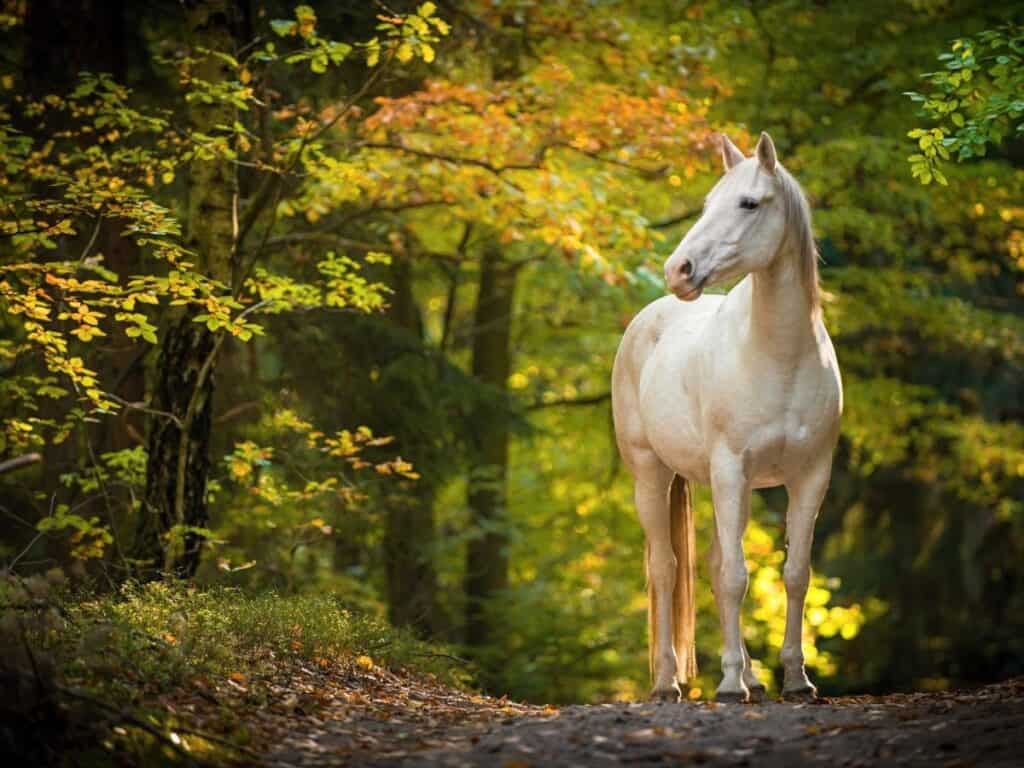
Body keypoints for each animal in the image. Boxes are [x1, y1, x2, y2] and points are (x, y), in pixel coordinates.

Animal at [611, 132, 843, 703]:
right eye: (707, 203)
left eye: (749, 203)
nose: (679, 270)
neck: (780, 357)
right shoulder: (731, 469)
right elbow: (737, 576)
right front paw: (730, 685)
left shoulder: (811, 476)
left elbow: (794, 573)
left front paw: (796, 679)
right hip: (652, 475)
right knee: (666, 568)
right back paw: (669, 682)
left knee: (715, 564)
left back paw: (752, 678)